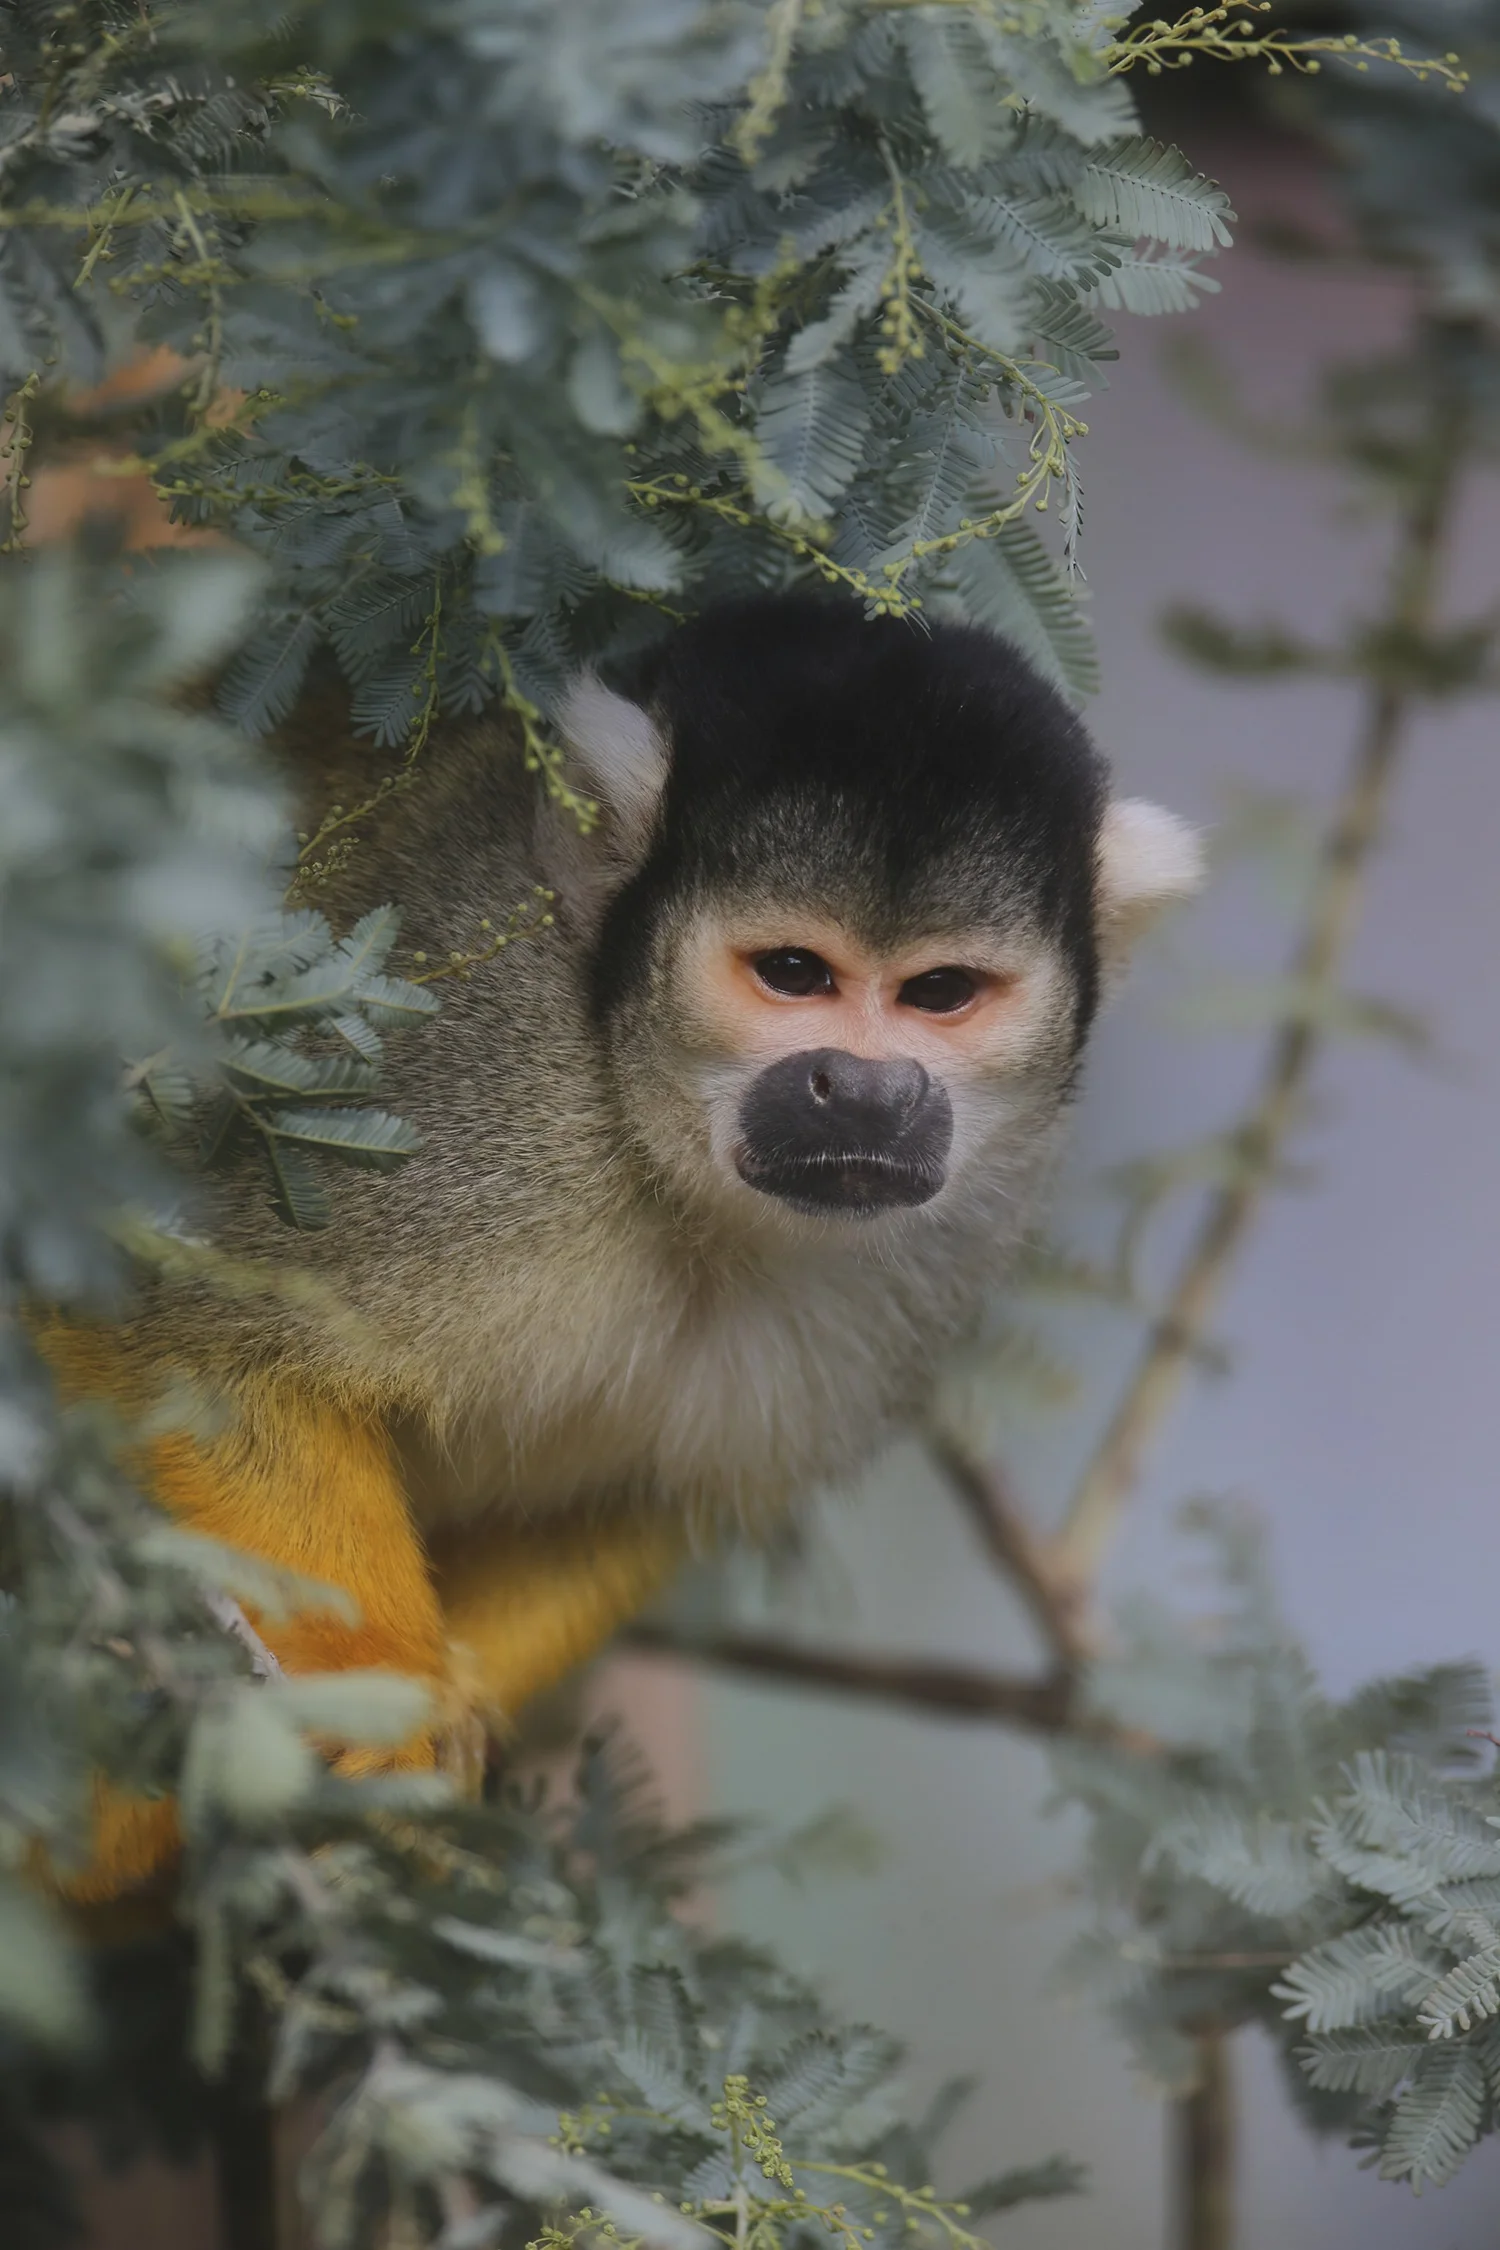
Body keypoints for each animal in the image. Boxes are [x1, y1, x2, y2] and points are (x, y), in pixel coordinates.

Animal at [38, 592, 1202, 1898]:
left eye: (941, 992)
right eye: (792, 972)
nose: (860, 1092)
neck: (671, 1164)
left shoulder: (960, 1229)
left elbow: (640, 1497)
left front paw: (458, 1707)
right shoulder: (454, 1070)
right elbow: (191, 1330)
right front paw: (388, 1703)